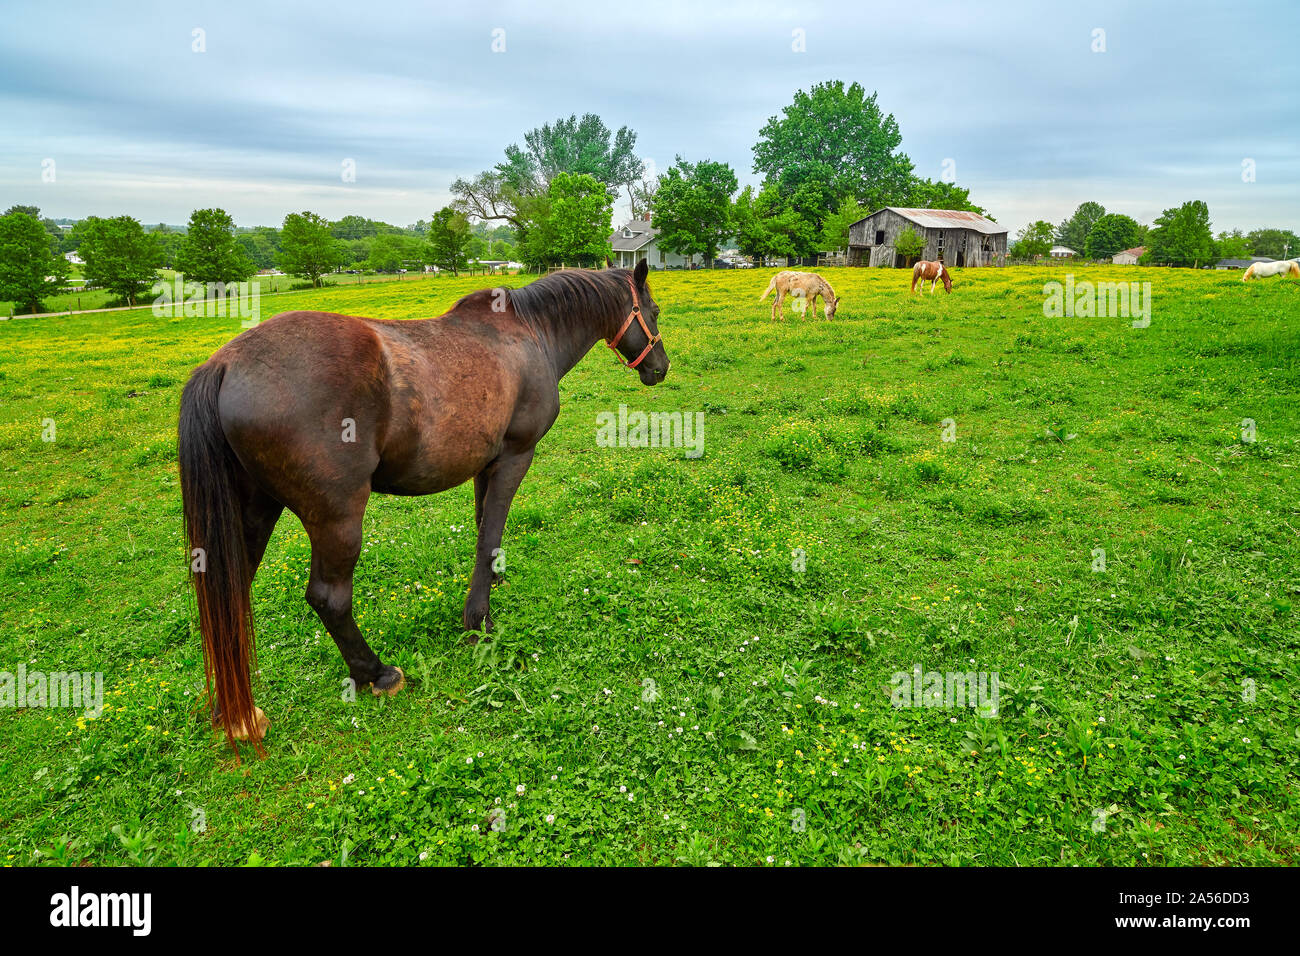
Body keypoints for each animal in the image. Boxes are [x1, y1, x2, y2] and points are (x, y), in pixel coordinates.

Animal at [178, 261, 669, 748]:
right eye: (655, 311)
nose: (660, 368)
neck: (529, 333)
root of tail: (224, 365)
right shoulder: (515, 456)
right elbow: (490, 533)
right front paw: (478, 619)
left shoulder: (485, 464)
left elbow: (483, 528)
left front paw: (493, 583)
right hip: (336, 518)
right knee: (328, 598)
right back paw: (375, 673)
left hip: (254, 510)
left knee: (230, 594)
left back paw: (235, 712)